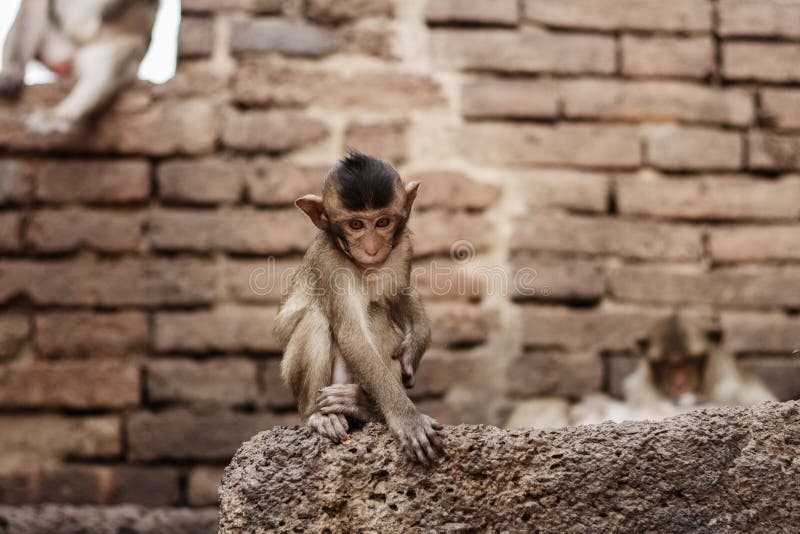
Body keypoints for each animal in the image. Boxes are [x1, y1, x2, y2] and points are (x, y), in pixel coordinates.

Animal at [273, 151, 443, 465]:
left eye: (383, 222)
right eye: (356, 225)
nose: (372, 248)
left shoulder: (403, 248)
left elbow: (400, 294)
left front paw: (415, 346)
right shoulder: (329, 262)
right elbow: (352, 335)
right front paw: (407, 418)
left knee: (378, 313)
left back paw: (362, 406)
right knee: (317, 319)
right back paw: (318, 416)